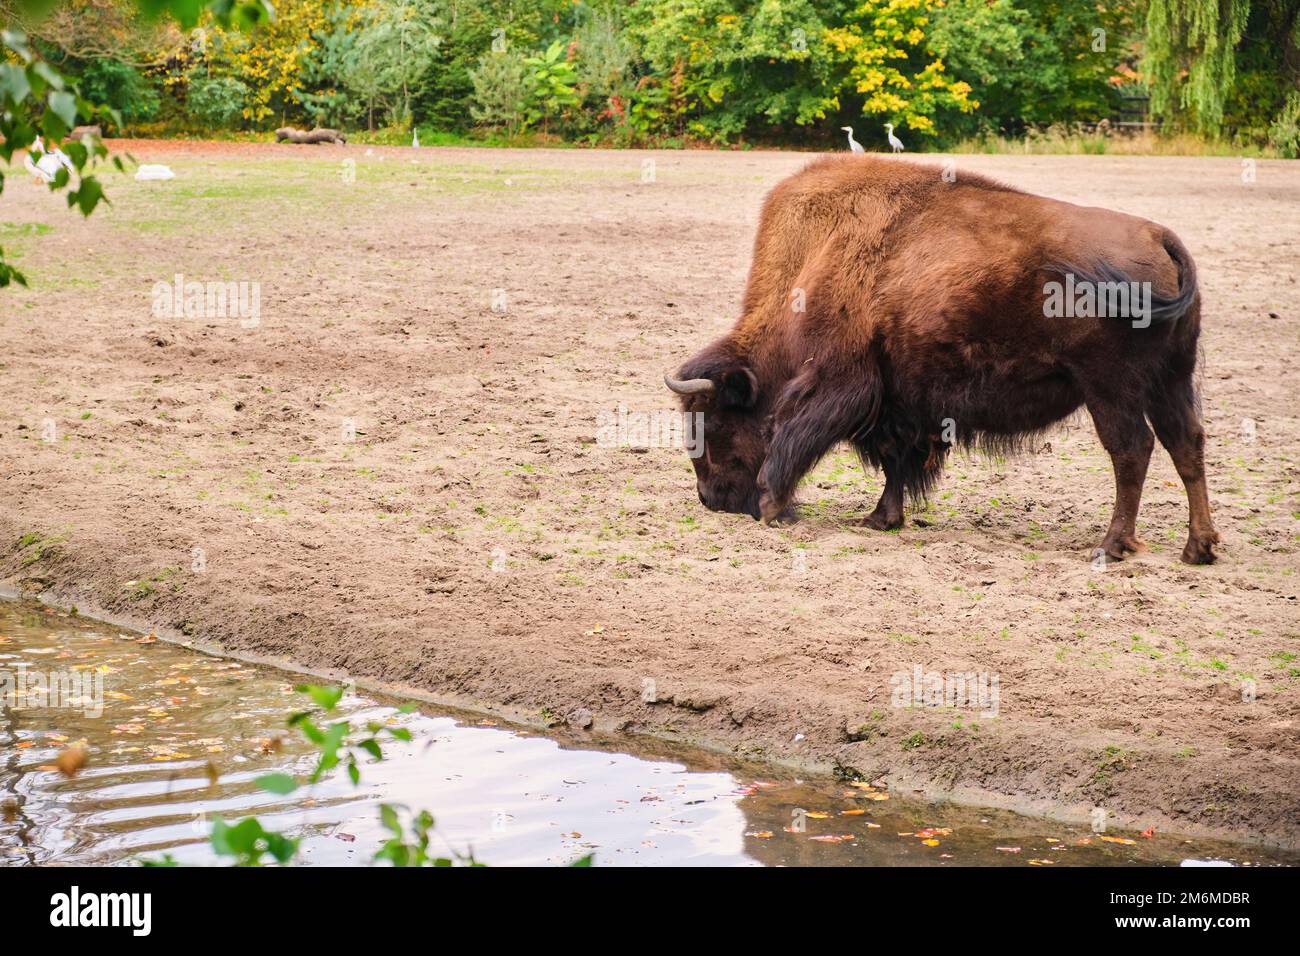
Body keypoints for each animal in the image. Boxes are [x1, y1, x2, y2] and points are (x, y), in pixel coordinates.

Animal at [666, 156, 1219, 565]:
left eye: (715, 423)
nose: (711, 500)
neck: (816, 258)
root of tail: (1161, 238)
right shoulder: (897, 399)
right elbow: (895, 460)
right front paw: (880, 519)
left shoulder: (839, 382)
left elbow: (795, 436)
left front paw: (770, 504)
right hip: (1171, 379)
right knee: (1186, 444)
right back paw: (1198, 548)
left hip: (1110, 388)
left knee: (1133, 450)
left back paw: (1111, 546)